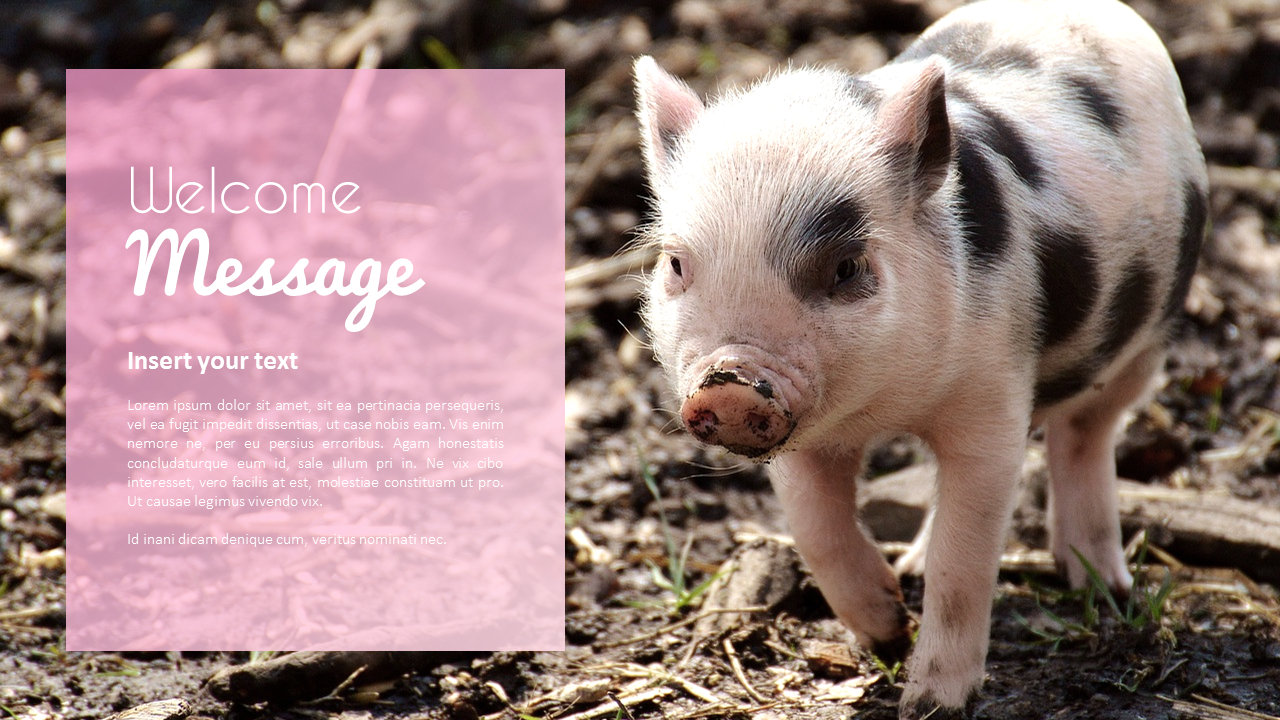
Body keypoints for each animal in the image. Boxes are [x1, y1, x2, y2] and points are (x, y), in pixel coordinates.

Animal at [634, 0, 1207, 716]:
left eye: (847, 268)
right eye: (676, 264)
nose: (729, 382)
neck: (886, 407)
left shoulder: (993, 397)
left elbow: (964, 560)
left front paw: (930, 702)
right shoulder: (803, 439)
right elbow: (817, 529)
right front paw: (885, 631)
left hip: (1149, 333)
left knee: (1087, 432)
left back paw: (1099, 587)